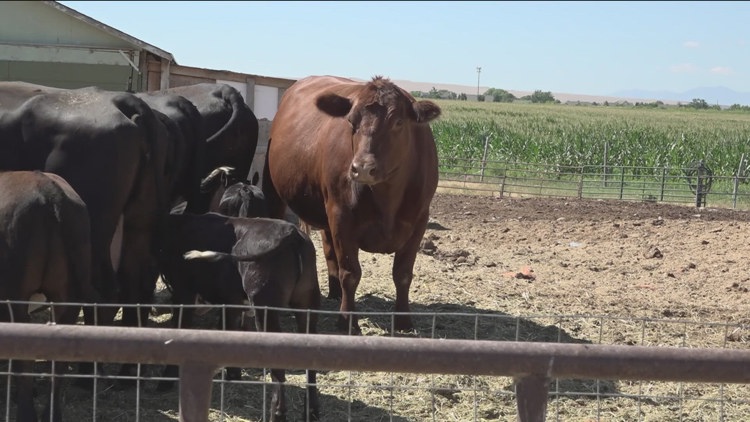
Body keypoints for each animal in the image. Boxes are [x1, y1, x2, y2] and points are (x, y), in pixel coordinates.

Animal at [155, 213, 321, 421]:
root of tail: (291, 232)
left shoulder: (184, 293)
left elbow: (180, 328)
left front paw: (166, 379)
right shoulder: (231, 302)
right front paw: (232, 373)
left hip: (265, 309)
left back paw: (276, 413)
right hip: (307, 305)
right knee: (311, 363)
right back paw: (311, 412)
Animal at [262, 75, 441, 334]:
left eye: (398, 122)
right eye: (350, 121)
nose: (362, 167)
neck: (387, 197)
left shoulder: (419, 221)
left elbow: (403, 273)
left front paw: (404, 321)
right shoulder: (341, 216)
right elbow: (350, 272)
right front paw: (348, 320)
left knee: (329, 251)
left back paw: (335, 291)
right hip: (277, 192)